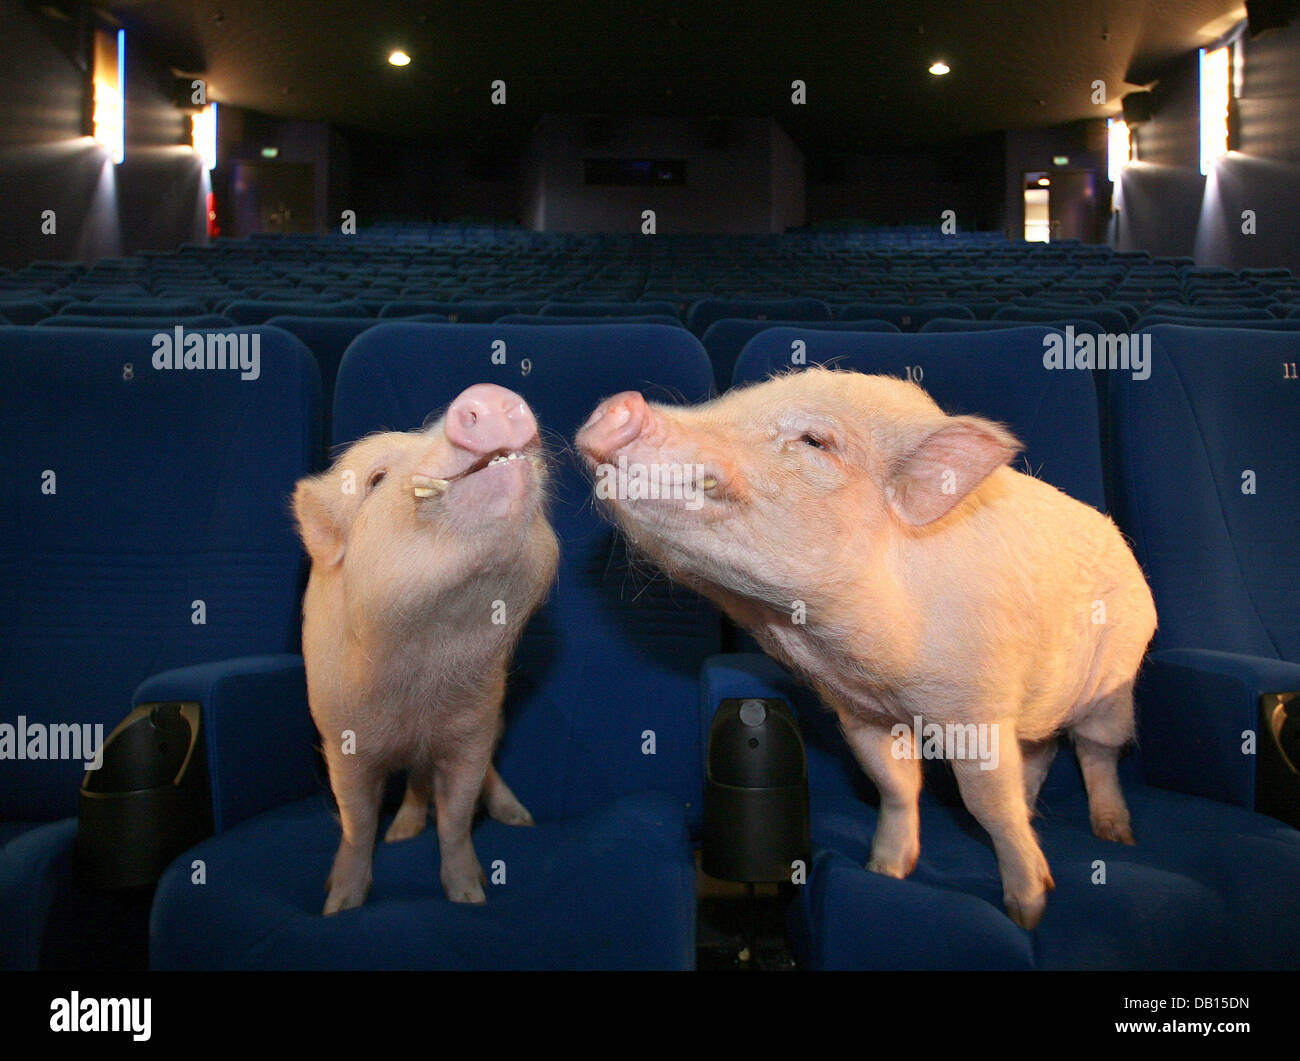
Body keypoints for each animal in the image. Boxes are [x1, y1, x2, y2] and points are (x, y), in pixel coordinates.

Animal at [293, 383, 559, 914]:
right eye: (375, 478)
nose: (490, 393)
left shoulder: (472, 728)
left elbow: (456, 818)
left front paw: (469, 897)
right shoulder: (340, 742)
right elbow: (357, 824)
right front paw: (339, 905)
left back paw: (519, 818)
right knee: (414, 786)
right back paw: (402, 832)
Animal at [576, 366, 1156, 930]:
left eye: (815, 440)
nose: (620, 402)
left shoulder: (978, 707)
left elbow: (987, 804)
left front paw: (1029, 910)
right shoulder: (860, 712)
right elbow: (895, 786)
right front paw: (886, 872)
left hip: (1117, 672)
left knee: (1095, 749)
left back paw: (1115, 835)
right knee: (1042, 750)